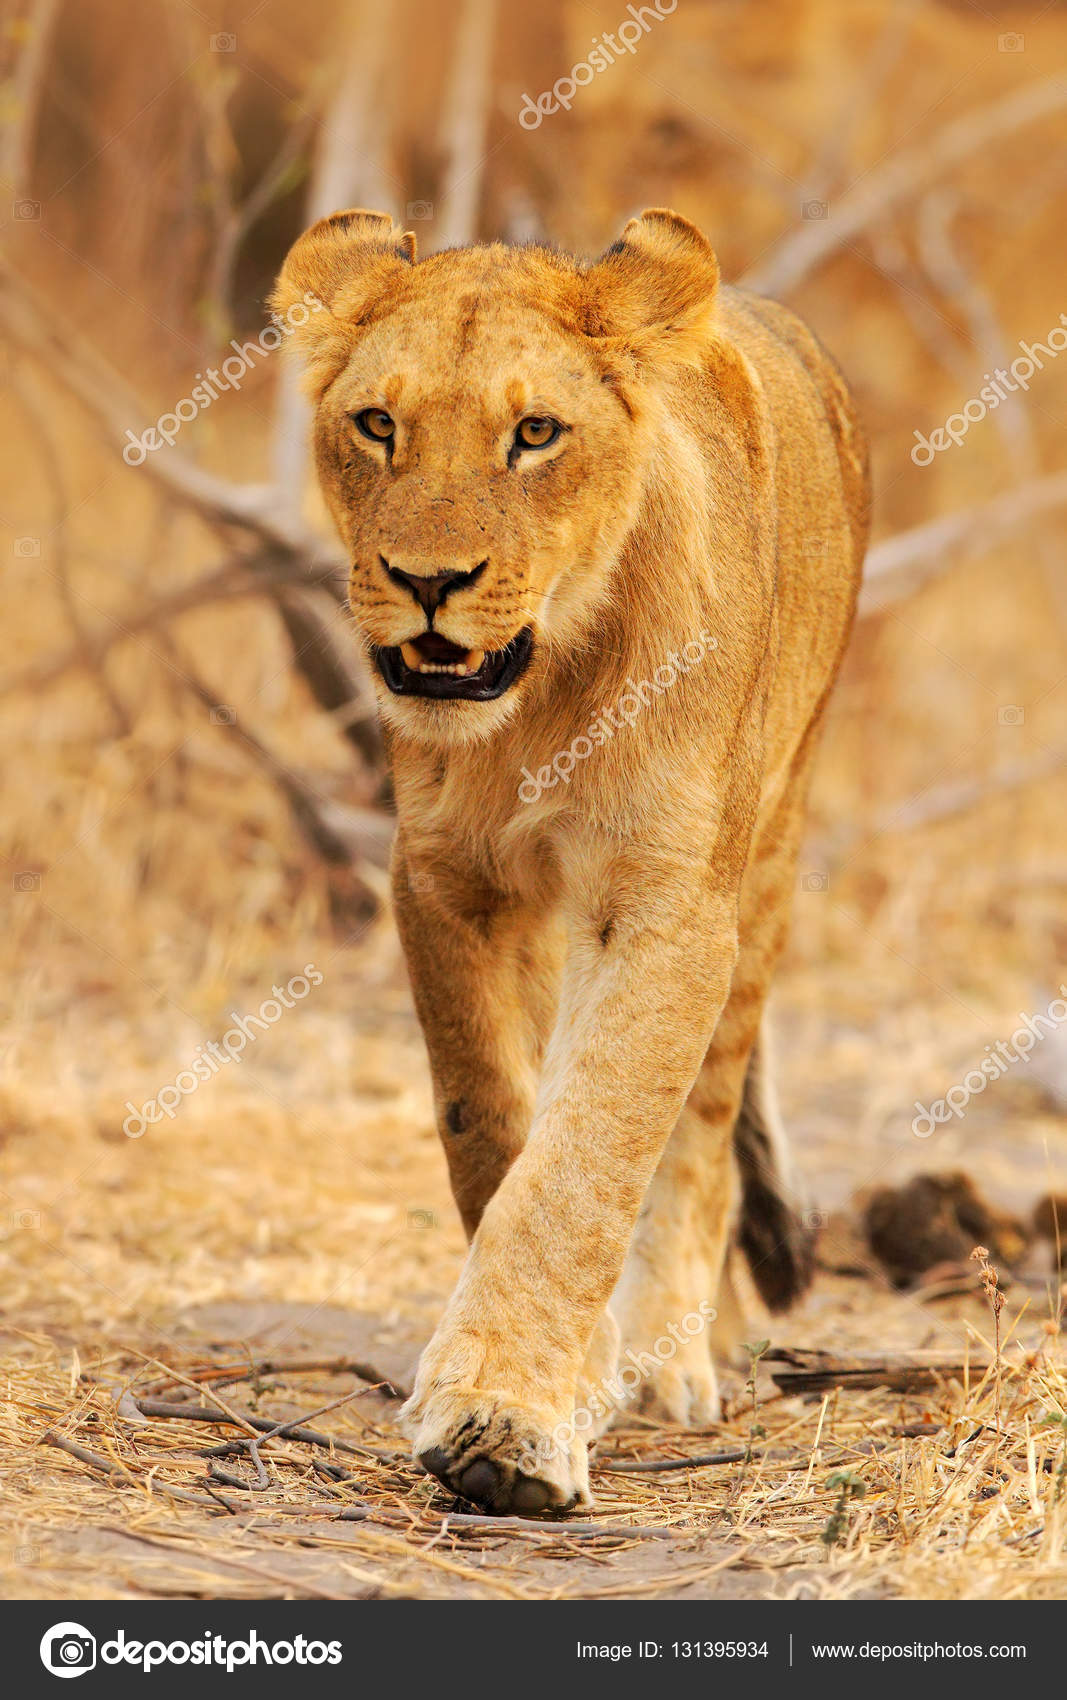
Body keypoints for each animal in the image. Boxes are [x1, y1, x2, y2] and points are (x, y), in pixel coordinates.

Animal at [272, 206, 869, 1513]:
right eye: (377, 423)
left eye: (533, 433)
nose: (427, 584)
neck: (538, 699)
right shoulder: (445, 881)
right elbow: (493, 1124)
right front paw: (544, 1378)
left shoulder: (663, 906)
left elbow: (590, 1153)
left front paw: (510, 1420)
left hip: (770, 844)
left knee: (700, 1134)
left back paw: (671, 1360)